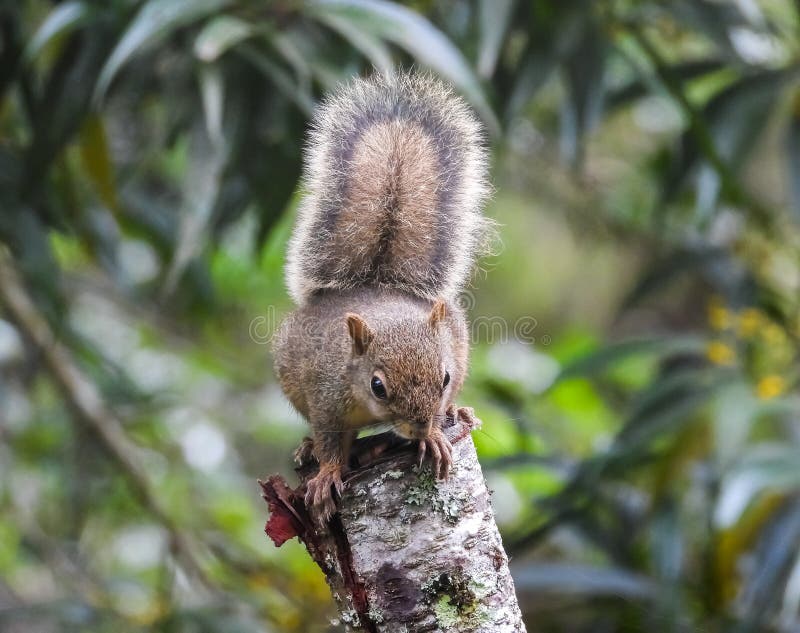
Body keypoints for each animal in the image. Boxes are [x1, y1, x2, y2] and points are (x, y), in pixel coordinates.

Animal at [273, 71, 492, 520]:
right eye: (378, 386)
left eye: (445, 377)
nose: (420, 426)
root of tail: (375, 281)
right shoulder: (325, 397)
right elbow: (329, 441)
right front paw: (326, 473)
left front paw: (435, 437)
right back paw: (307, 449)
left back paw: (457, 413)